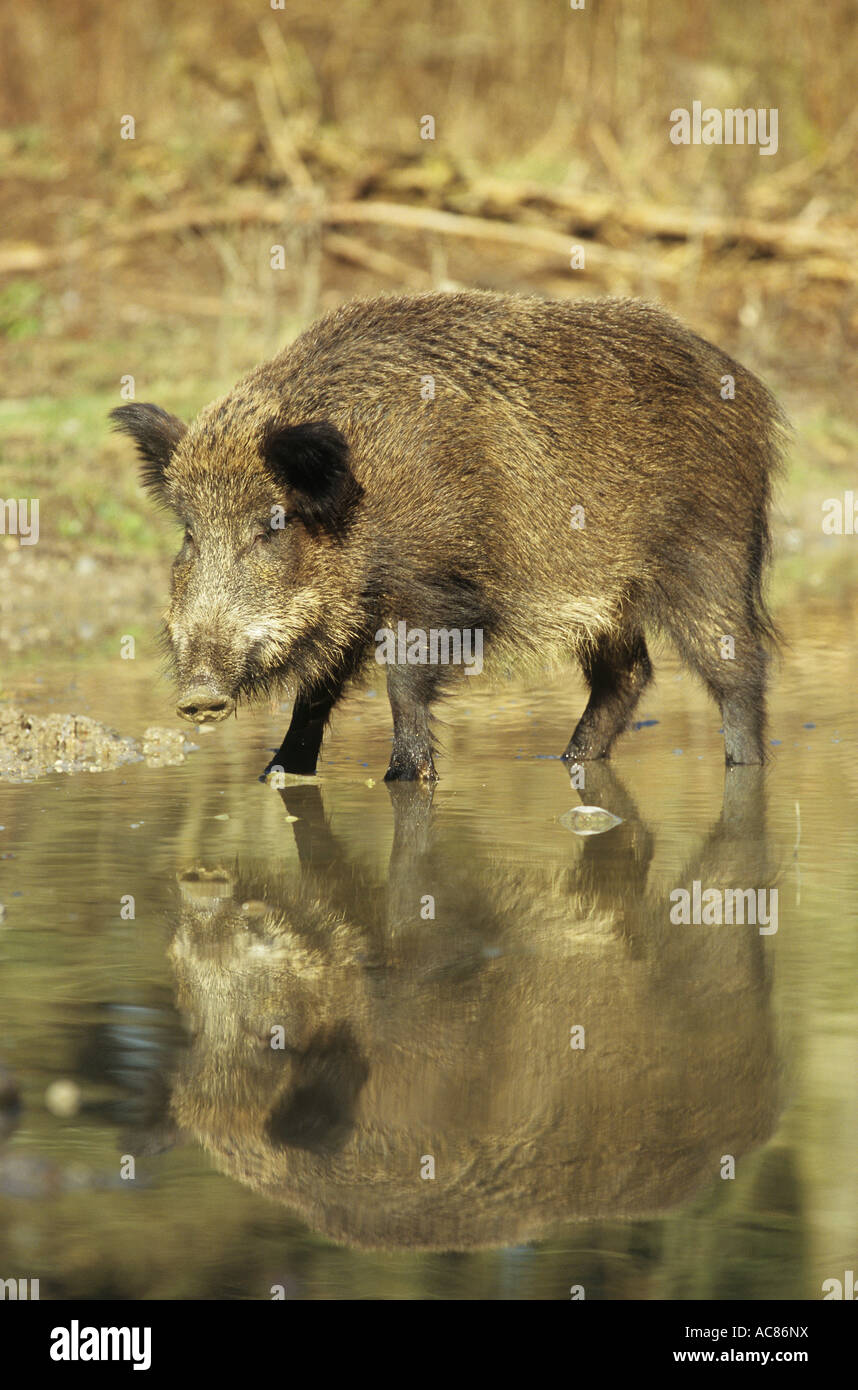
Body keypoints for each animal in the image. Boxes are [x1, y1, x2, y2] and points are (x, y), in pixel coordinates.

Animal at [111, 292, 787, 779]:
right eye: (189, 533)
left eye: (272, 524)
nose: (198, 698)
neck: (362, 500)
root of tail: (749, 388)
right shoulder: (346, 614)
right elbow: (315, 694)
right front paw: (277, 774)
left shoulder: (436, 589)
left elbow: (403, 686)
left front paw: (406, 778)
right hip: (610, 602)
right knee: (628, 676)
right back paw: (569, 760)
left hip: (708, 556)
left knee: (738, 670)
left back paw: (745, 765)